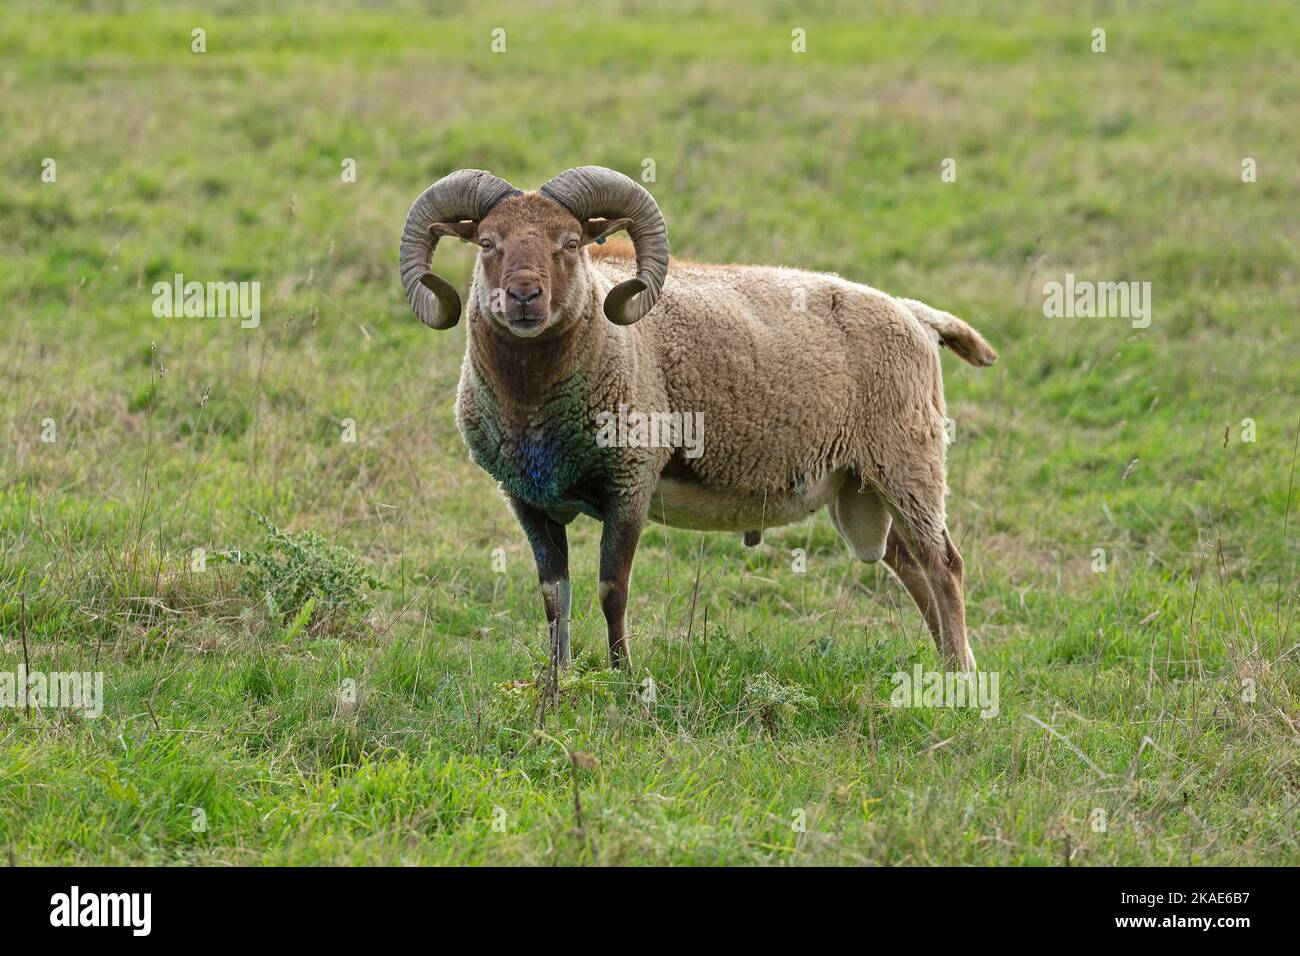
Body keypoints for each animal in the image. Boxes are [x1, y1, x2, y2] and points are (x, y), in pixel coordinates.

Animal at [400, 166, 997, 673]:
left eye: (570, 243)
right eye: (486, 243)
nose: (523, 296)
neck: (534, 403)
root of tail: (916, 314)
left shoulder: (630, 481)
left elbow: (612, 589)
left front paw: (622, 677)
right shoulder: (526, 497)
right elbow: (554, 597)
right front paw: (557, 678)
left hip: (908, 462)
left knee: (944, 565)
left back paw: (961, 677)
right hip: (861, 484)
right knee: (912, 568)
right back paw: (947, 663)